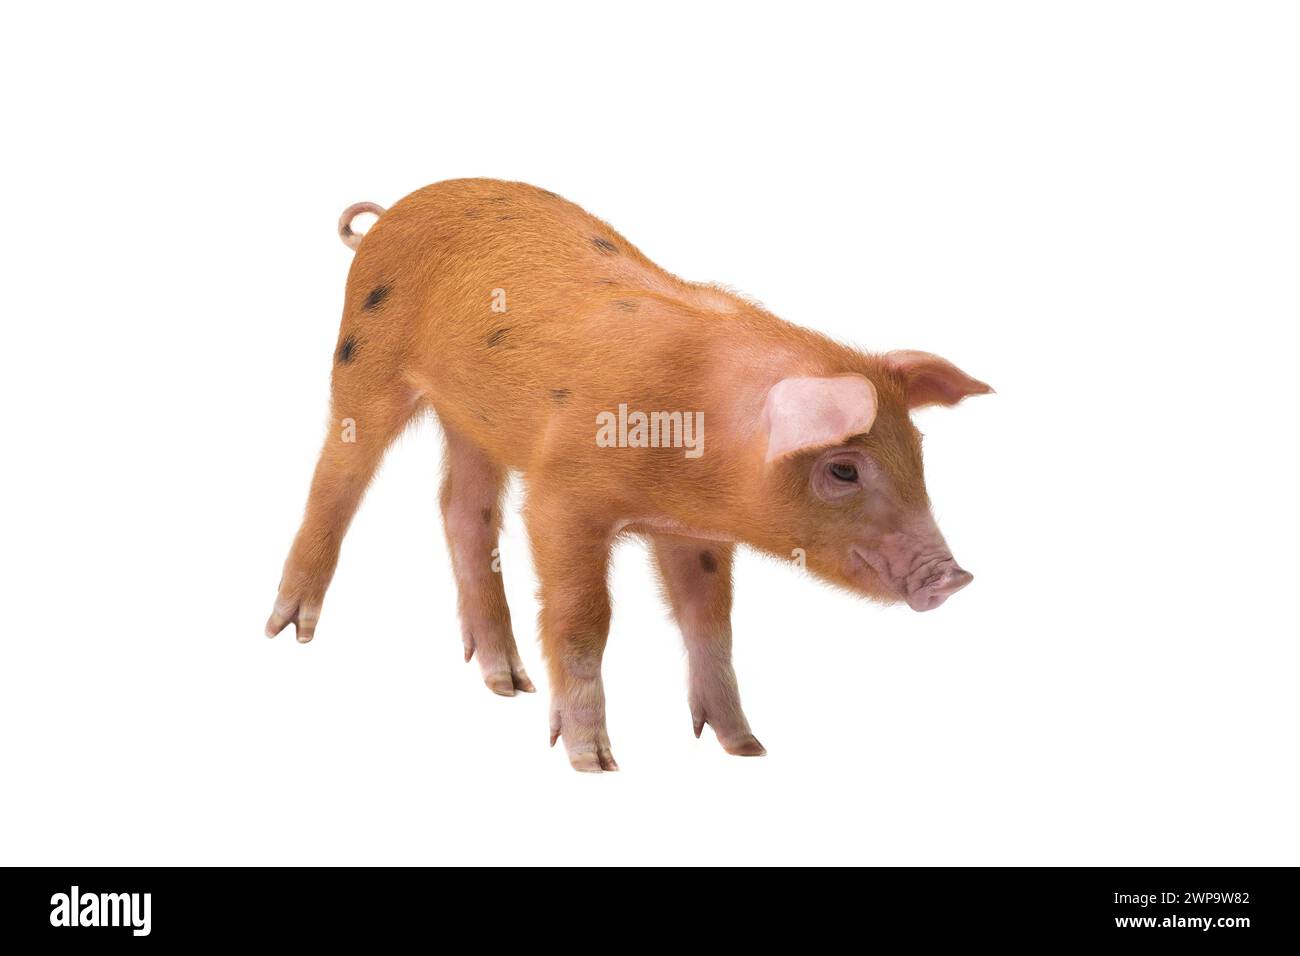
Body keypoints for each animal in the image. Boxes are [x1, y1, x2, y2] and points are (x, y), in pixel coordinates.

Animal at [267, 179, 992, 772]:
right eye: (843, 468)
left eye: (918, 452)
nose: (954, 576)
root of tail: (388, 215)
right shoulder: (561, 498)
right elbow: (585, 617)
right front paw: (594, 762)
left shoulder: (694, 533)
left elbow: (711, 621)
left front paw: (747, 748)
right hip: (364, 361)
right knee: (336, 480)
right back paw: (289, 631)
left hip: (472, 417)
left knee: (463, 511)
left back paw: (507, 683)